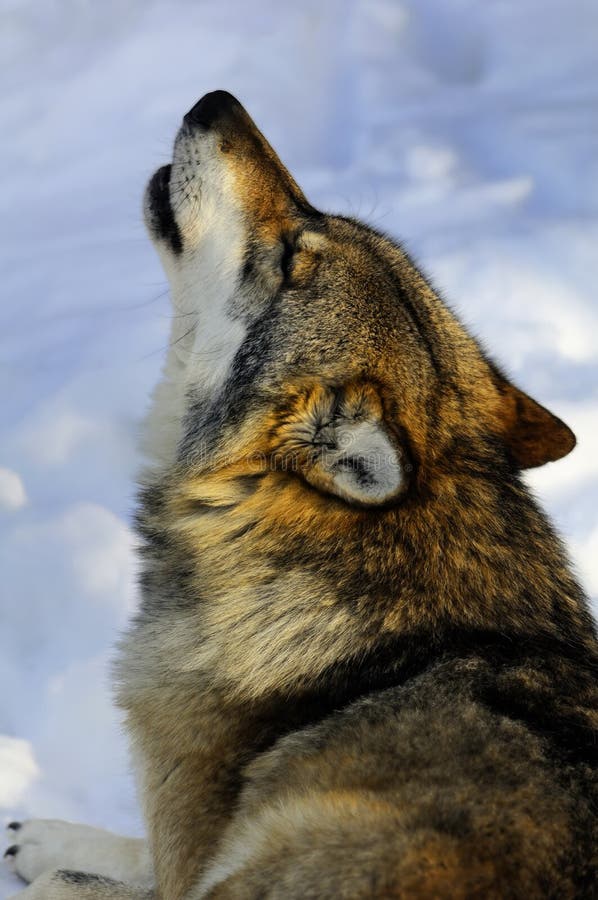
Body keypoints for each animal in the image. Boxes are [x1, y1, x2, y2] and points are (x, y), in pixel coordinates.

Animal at [5, 91, 597, 899]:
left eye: (289, 259)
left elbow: (99, 873)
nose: (216, 102)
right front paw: (42, 836)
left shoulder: (189, 850)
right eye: (311, 218)